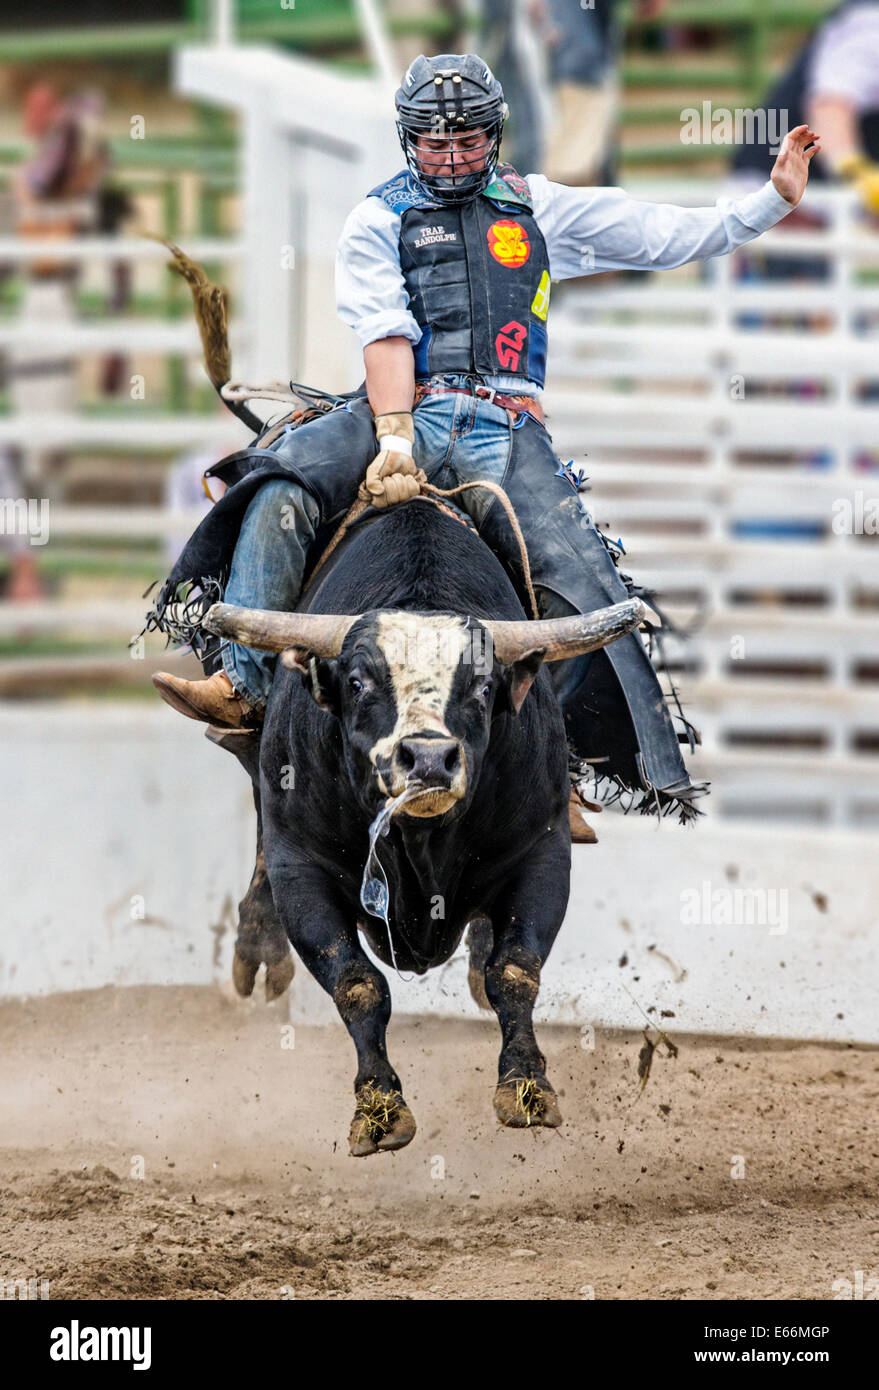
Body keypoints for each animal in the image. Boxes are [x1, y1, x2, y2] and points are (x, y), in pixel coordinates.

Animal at [203, 497, 648, 1156]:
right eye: (357, 681)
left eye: (485, 685)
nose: (430, 760)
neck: (420, 848)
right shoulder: (302, 868)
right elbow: (358, 984)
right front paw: (380, 1107)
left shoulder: (543, 856)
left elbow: (514, 972)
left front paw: (527, 1086)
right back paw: (258, 953)